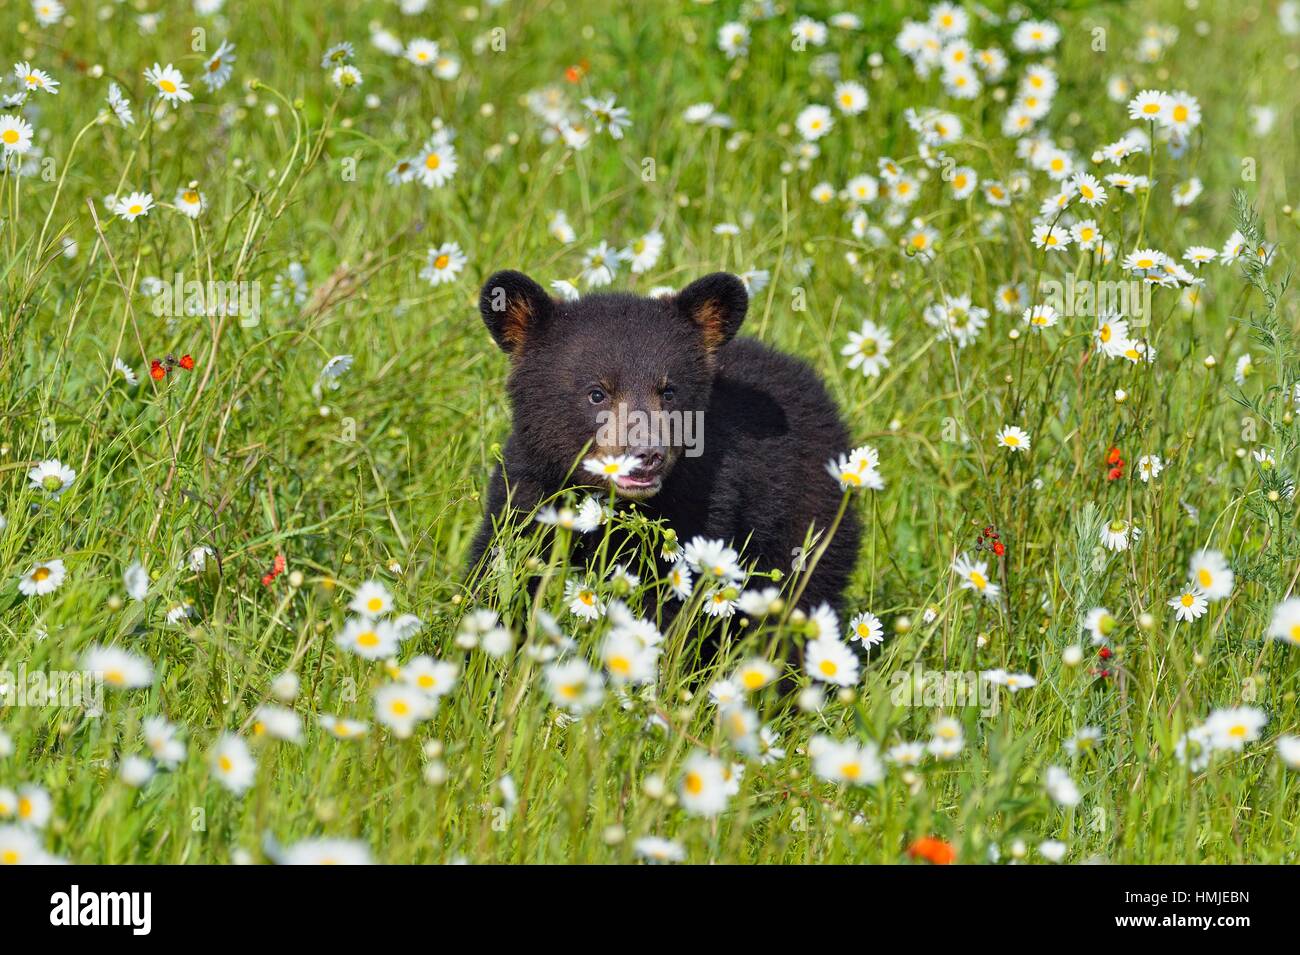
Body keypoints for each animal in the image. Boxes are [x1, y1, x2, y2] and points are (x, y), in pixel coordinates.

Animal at [468, 269, 861, 615]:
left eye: (669, 392)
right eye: (597, 393)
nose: (647, 454)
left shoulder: (703, 508)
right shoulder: (530, 490)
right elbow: (502, 566)